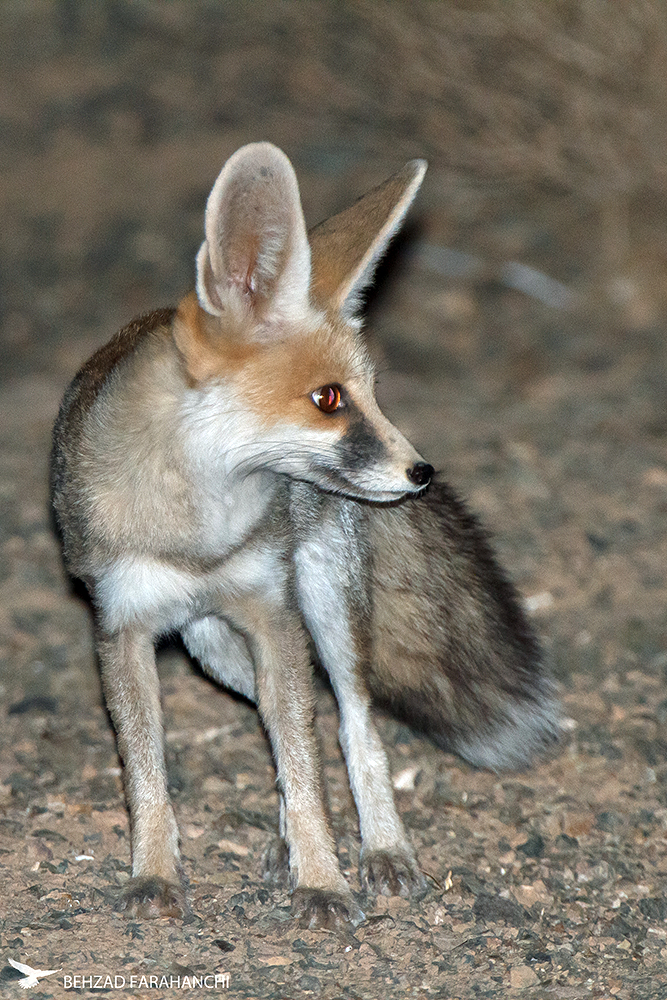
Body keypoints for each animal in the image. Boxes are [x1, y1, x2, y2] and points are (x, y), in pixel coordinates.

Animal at [51, 142, 558, 929]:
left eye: (373, 394)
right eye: (327, 399)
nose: (421, 472)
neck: (198, 531)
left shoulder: (272, 614)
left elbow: (309, 763)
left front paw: (322, 881)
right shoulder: (122, 628)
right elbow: (148, 775)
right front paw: (155, 873)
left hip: (322, 607)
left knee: (351, 720)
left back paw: (381, 847)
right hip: (212, 643)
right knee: (278, 716)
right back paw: (287, 841)